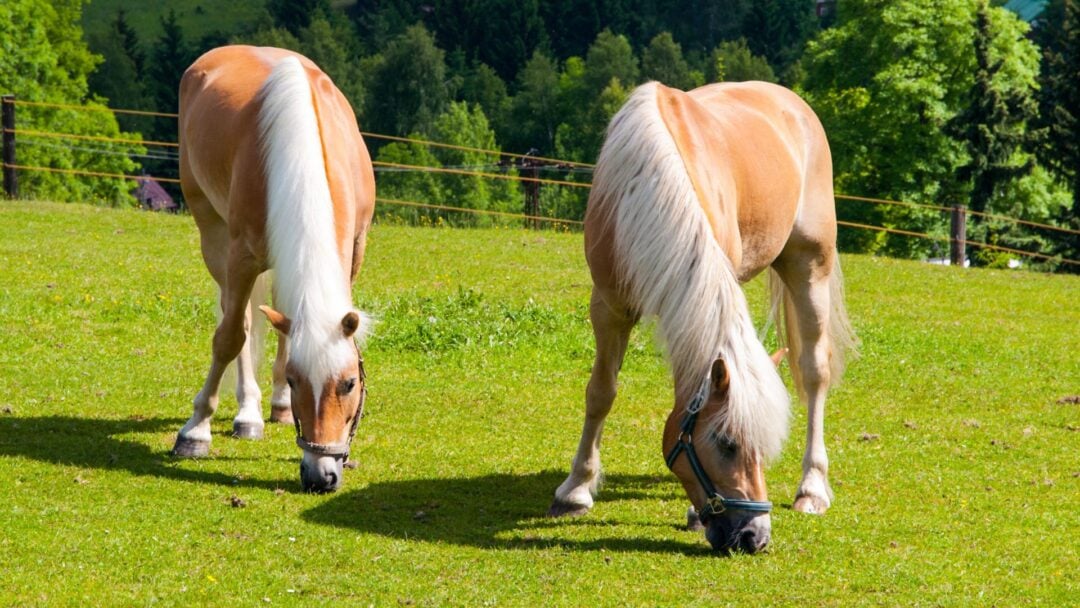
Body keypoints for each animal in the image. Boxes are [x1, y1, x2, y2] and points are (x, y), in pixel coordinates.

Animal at [171, 46, 375, 493]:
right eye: (300, 381)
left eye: (349, 383)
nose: (321, 475)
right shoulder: (241, 256)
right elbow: (229, 338)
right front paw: (196, 431)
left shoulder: (354, 252)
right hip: (213, 236)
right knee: (241, 322)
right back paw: (247, 414)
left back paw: (275, 406)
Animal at [548, 81, 857, 553]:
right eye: (726, 444)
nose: (754, 536)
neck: (648, 186)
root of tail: (790, 101)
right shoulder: (609, 306)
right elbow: (601, 393)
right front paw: (576, 490)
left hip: (810, 266)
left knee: (814, 373)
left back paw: (812, 487)